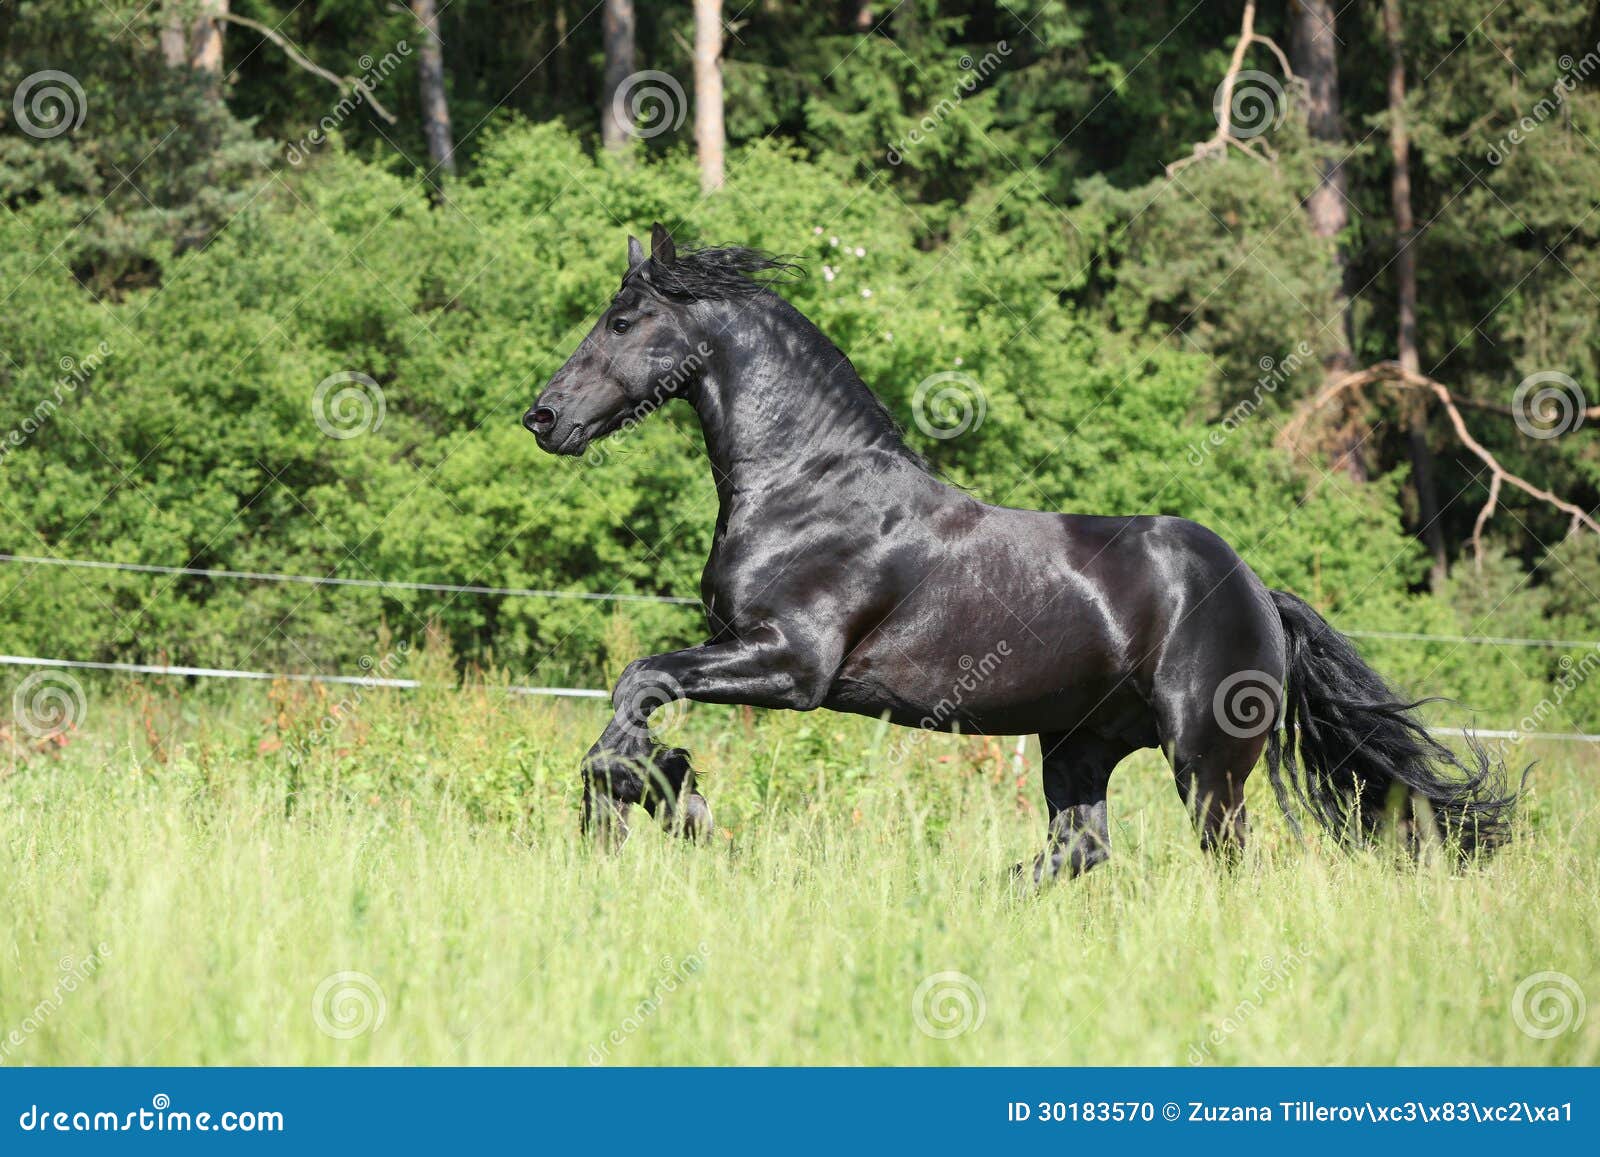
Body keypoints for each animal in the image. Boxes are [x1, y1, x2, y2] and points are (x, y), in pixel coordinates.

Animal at [523, 223, 1517, 879]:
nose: (543, 416)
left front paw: (665, 797)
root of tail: (1259, 592)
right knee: (1078, 850)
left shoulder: (791, 663)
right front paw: (650, 793)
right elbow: (632, 704)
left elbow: (639, 683)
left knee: (1222, 859)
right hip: (1079, 744)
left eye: (621, 321)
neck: (808, 485)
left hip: (1206, 759)